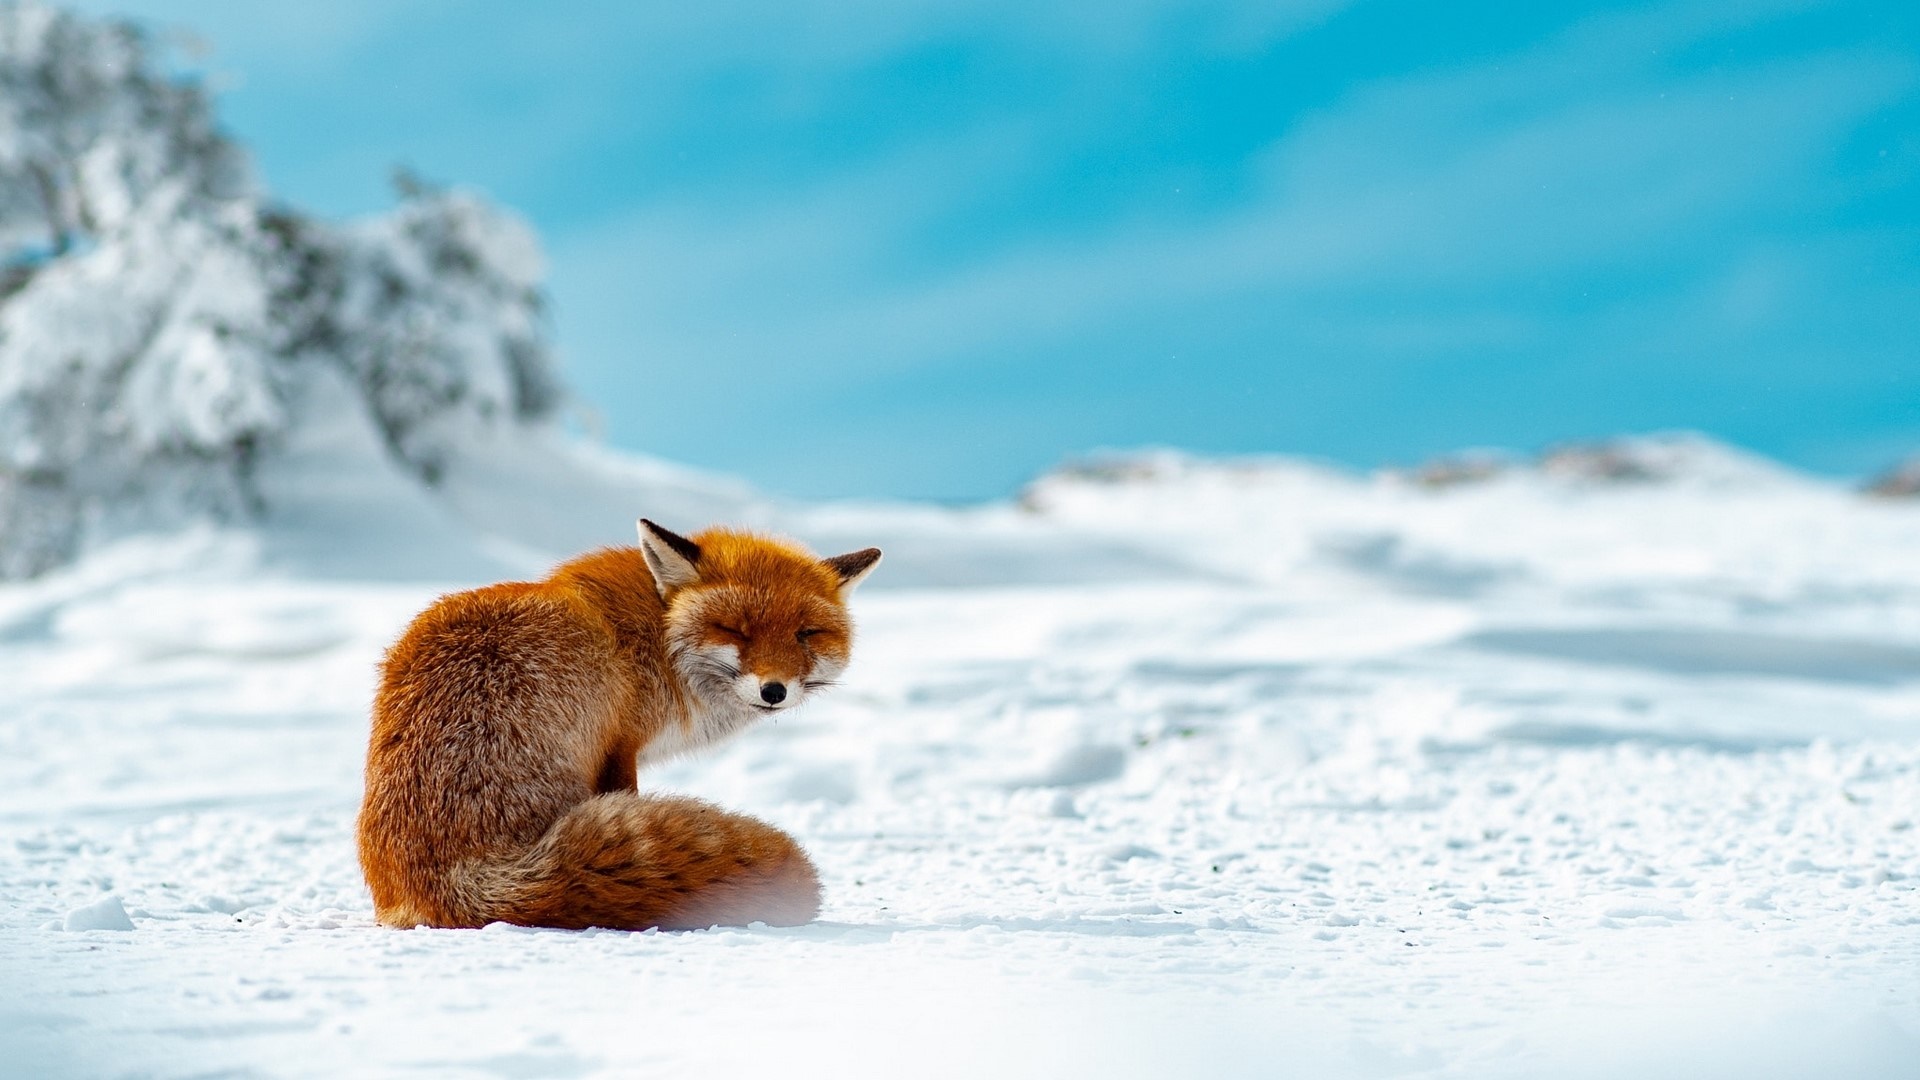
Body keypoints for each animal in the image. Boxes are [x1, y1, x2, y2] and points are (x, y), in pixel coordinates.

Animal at [357, 519, 881, 931]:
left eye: (806, 634)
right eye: (734, 629)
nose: (774, 690)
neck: (660, 637)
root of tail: (451, 881)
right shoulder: (620, 748)